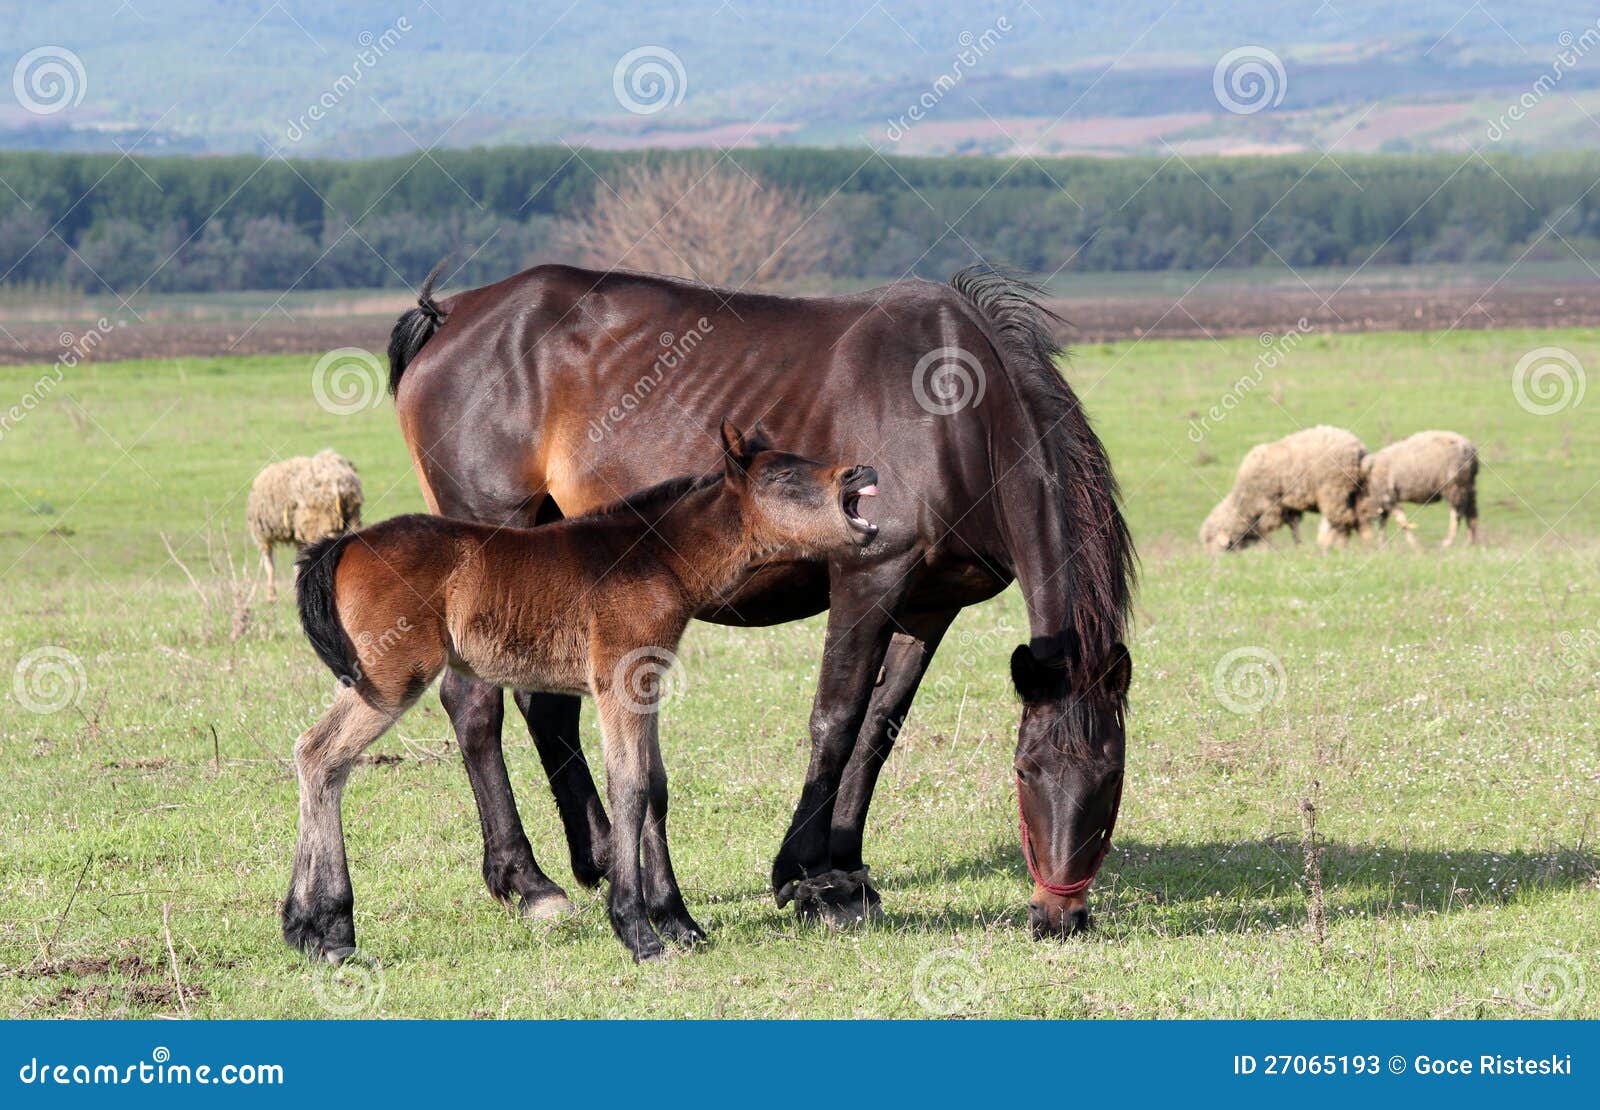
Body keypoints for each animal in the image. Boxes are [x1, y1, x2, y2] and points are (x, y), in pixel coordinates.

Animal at [285, 420, 879, 962]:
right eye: (783, 476)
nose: (861, 471)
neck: (656, 556)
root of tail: (341, 544)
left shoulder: (645, 682)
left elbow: (656, 788)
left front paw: (680, 923)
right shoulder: (618, 680)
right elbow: (629, 788)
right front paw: (638, 932)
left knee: (315, 756)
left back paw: (302, 926)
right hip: (390, 677)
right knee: (321, 755)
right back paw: (331, 929)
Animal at [389, 262, 1134, 939]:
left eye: (1111, 780)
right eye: (1025, 771)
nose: (1059, 918)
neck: (957, 419)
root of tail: (451, 316)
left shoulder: (929, 607)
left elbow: (878, 730)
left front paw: (848, 872)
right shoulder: (868, 578)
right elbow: (836, 721)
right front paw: (808, 879)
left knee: (543, 705)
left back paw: (594, 856)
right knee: (474, 705)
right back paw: (526, 881)